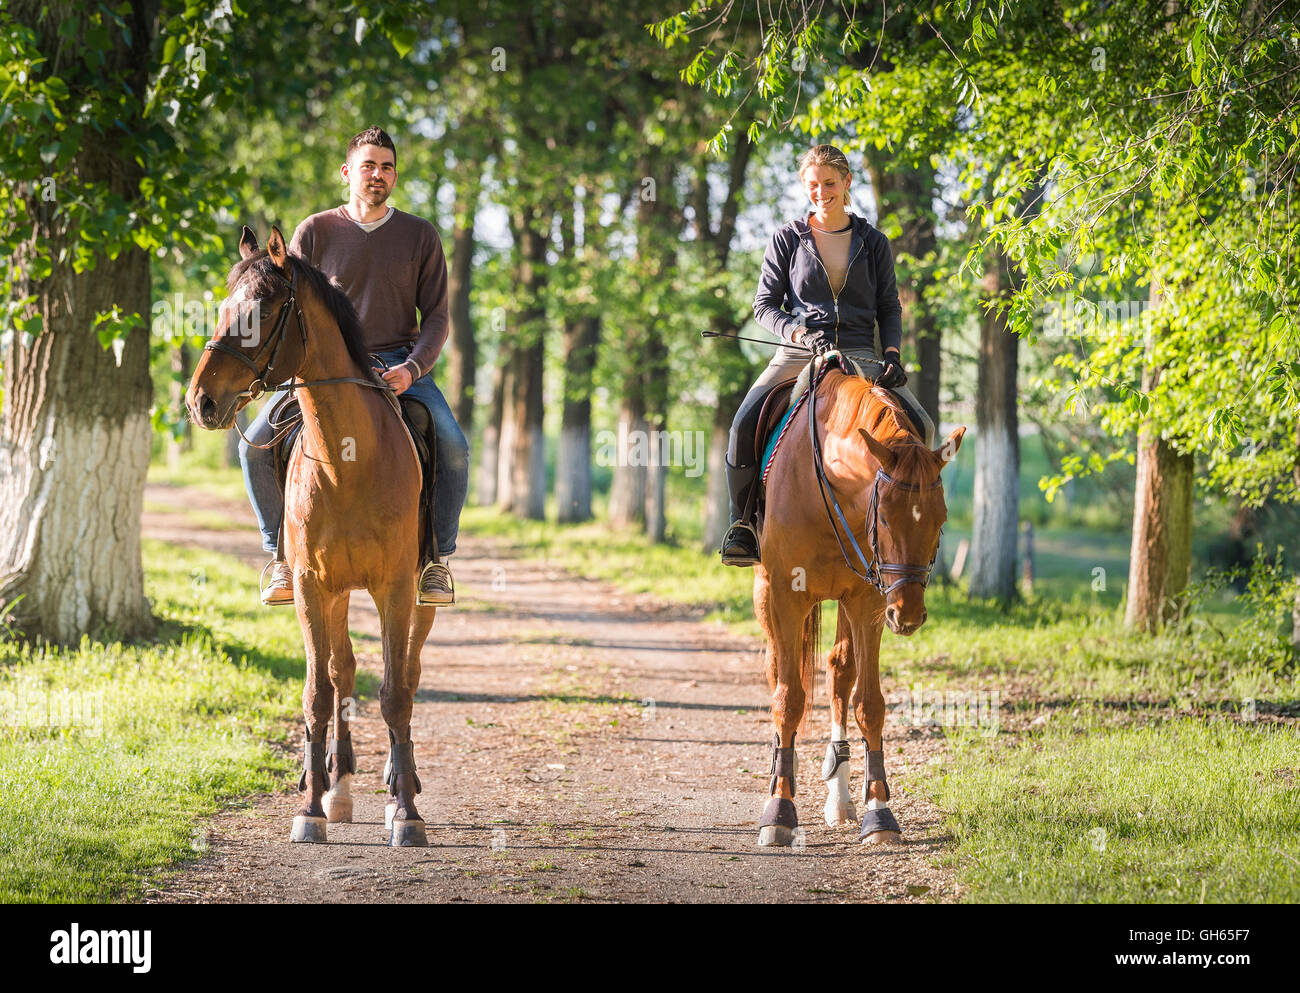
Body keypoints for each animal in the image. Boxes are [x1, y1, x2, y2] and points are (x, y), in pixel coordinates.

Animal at [186, 225, 436, 847]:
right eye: (222, 307)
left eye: (261, 311)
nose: (199, 401)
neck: (348, 458)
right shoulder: (311, 586)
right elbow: (319, 692)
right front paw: (310, 808)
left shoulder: (395, 589)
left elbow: (395, 693)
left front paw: (407, 815)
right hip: (338, 593)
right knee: (342, 671)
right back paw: (336, 788)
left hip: (416, 599)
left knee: (407, 674)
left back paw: (396, 789)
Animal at [752, 355, 965, 847]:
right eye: (882, 515)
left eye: (942, 518)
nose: (908, 615)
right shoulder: (786, 595)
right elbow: (788, 699)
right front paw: (779, 810)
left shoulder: (868, 601)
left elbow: (869, 703)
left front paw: (879, 813)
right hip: (766, 591)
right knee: (777, 671)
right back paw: (782, 772)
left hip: (851, 601)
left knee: (839, 672)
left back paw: (840, 797)